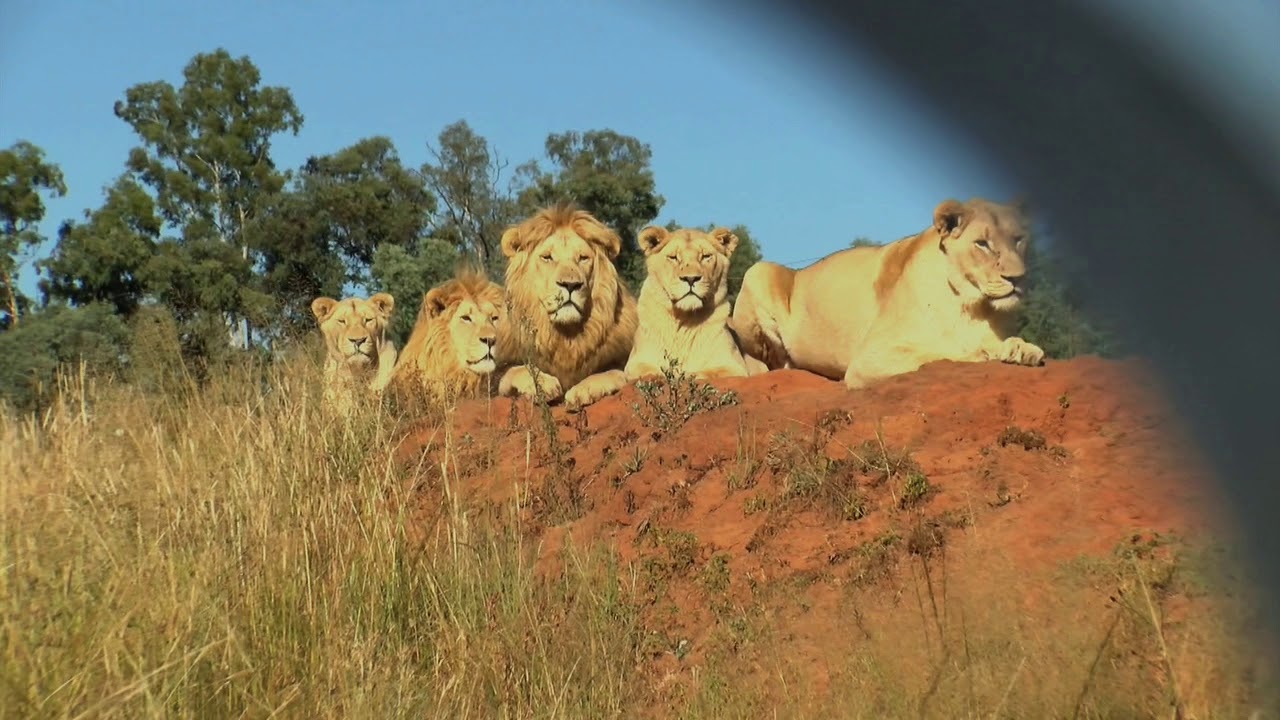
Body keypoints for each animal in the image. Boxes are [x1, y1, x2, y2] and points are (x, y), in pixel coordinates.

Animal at [494, 202, 639, 409]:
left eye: (583, 258)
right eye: (547, 257)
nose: (571, 285)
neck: (565, 336)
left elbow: (614, 372)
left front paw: (583, 390)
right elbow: (516, 369)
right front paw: (543, 384)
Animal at [625, 224, 750, 381]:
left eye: (705, 256)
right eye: (673, 257)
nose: (691, 279)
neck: (684, 318)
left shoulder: (735, 366)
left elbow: (707, 373)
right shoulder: (636, 361)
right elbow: (647, 372)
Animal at [730, 197, 1046, 389]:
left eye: (1019, 240)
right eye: (982, 244)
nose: (1018, 278)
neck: (971, 305)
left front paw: (1022, 349)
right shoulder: (869, 358)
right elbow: (941, 354)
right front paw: (987, 352)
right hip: (757, 272)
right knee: (771, 363)